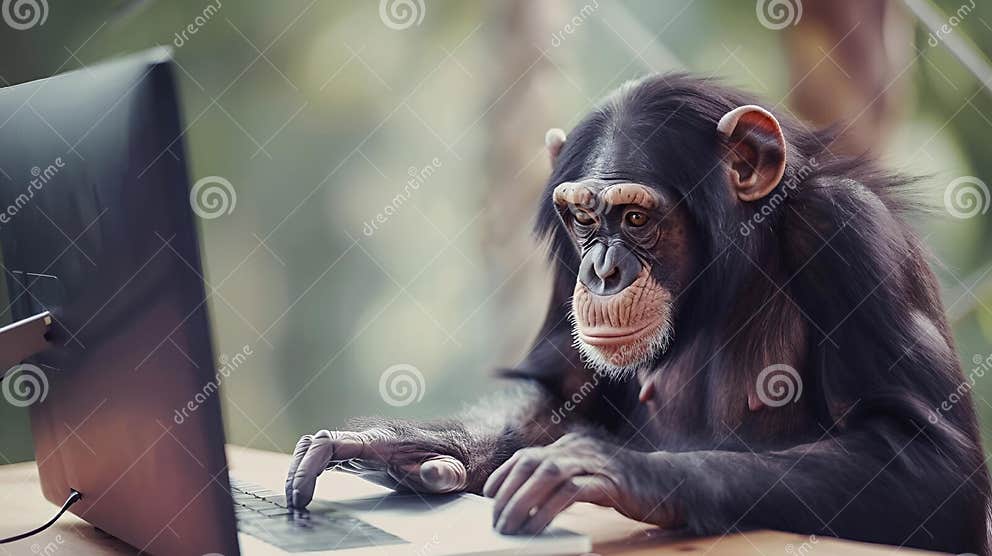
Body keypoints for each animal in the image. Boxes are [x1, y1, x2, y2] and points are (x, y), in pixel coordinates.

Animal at [285, 74, 991, 554]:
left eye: (634, 217)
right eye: (584, 219)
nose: (602, 271)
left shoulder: (851, 235)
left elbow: (934, 467)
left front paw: (611, 469)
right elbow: (559, 389)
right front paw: (404, 445)